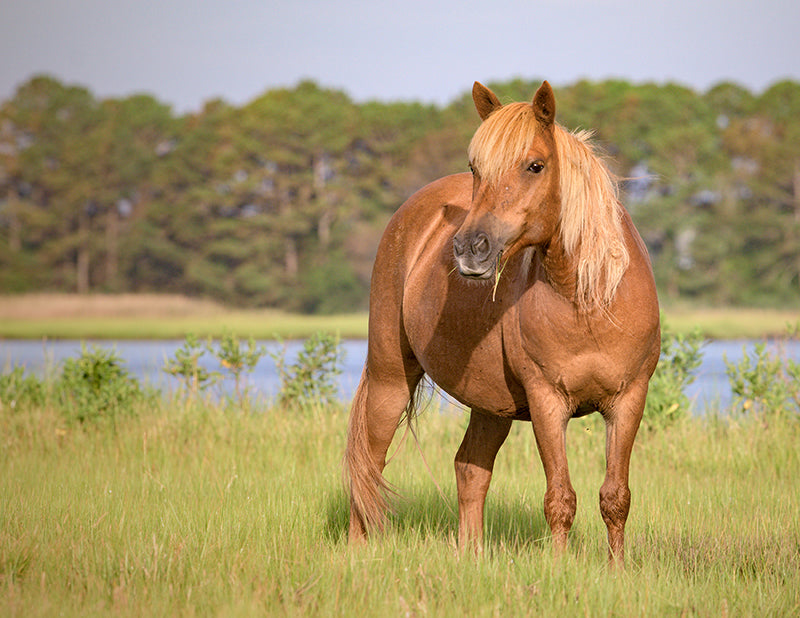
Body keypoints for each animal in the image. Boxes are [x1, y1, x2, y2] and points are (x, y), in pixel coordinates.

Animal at [345, 80, 660, 564]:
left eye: (535, 165)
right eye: (475, 168)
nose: (469, 248)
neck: (588, 302)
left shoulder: (628, 401)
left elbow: (615, 497)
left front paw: (617, 570)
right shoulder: (548, 401)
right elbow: (560, 498)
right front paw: (560, 570)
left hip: (490, 404)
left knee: (469, 469)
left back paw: (471, 556)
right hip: (389, 377)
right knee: (369, 463)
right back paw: (358, 552)